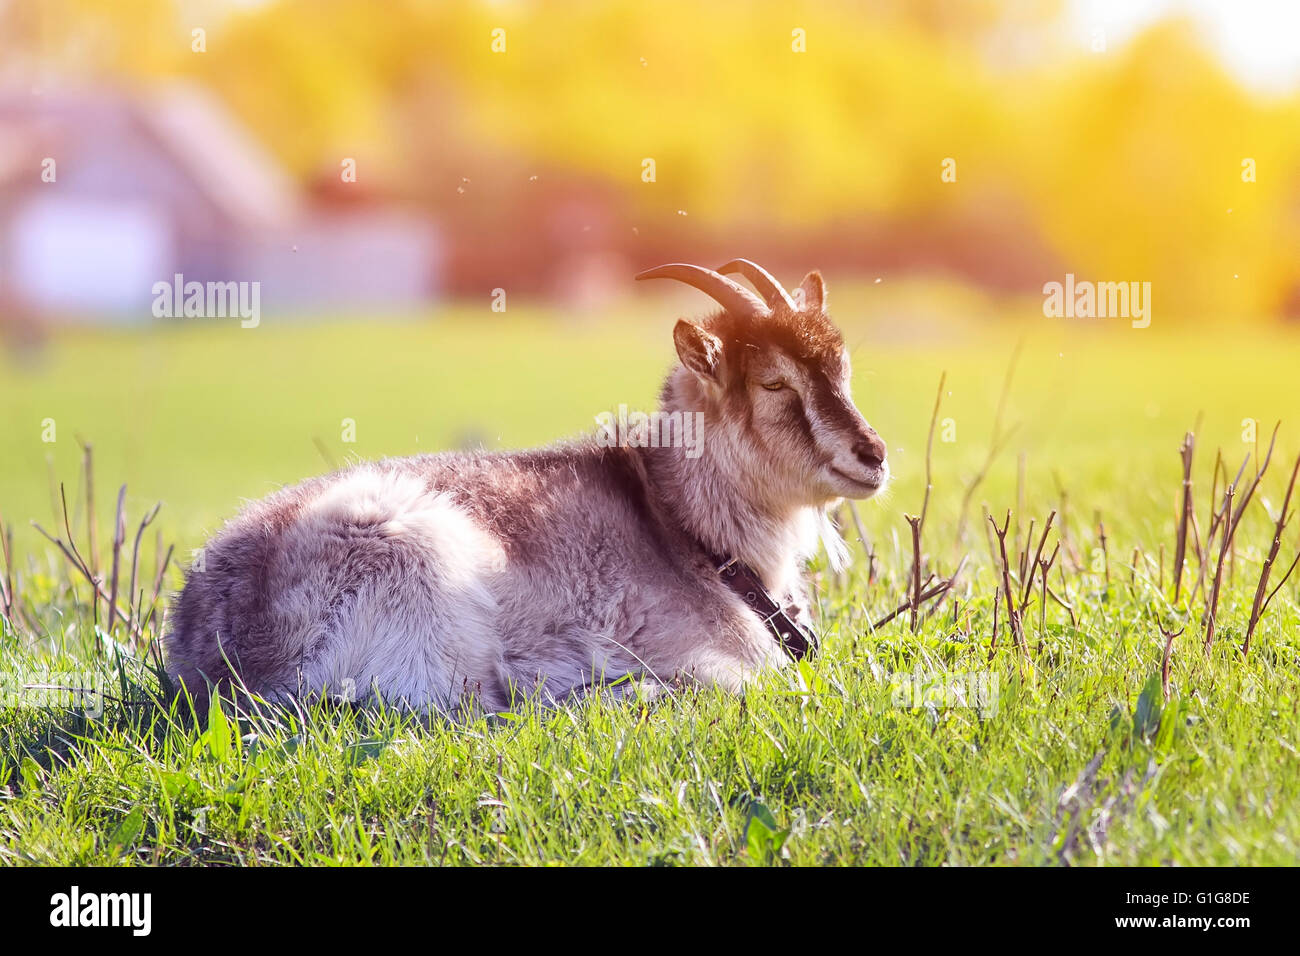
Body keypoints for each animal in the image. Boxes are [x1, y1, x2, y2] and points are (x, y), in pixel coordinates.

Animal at [165, 259, 889, 713]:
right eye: (773, 383)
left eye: (844, 369)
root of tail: (212, 657)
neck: (686, 527)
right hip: (418, 570)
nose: (873, 455)